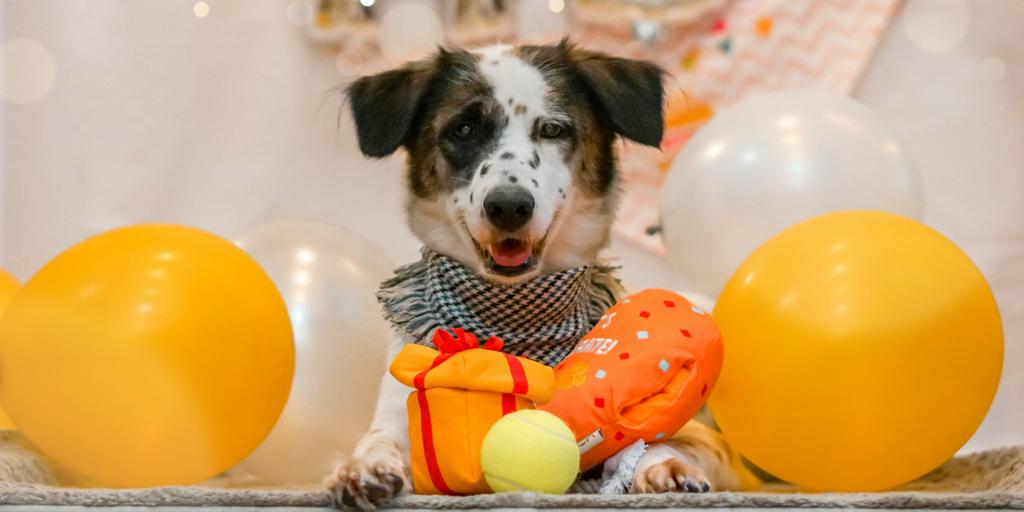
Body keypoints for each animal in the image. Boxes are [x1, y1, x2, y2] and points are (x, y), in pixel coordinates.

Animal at [329, 38, 761, 507]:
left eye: (553, 130)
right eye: (463, 130)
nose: (508, 206)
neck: (514, 317)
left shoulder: (712, 446)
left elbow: (664, 441)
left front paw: (663, 465)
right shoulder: (396, 411)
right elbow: (379, 440)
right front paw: (363, 468)